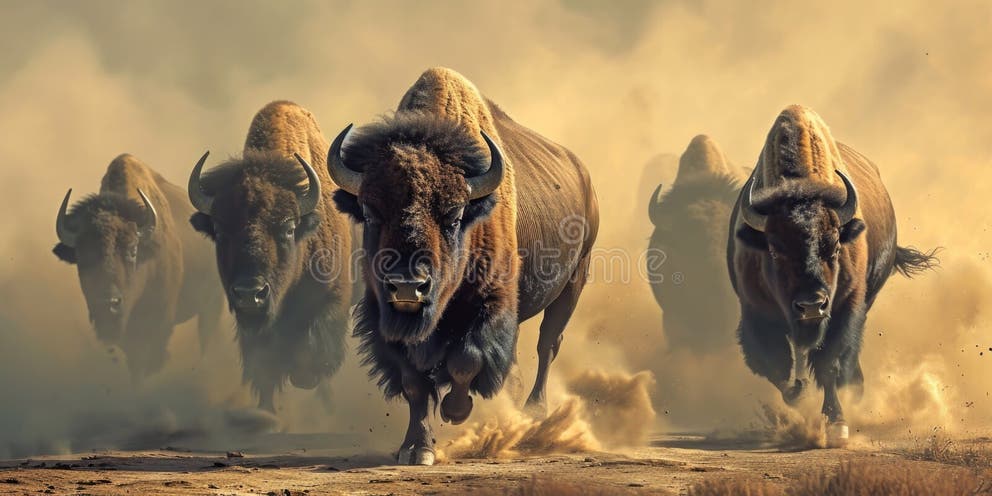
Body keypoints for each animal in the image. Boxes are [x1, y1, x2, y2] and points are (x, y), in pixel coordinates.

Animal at [187, 101, 352, 412]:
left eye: (288, 228)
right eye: (219, 230)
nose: (250, 294)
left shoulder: (332, 300)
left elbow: (314, 356)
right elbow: (265, 371)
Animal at [328, 67, 599, 465]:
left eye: (454, 216)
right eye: (370, 212)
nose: (408, 287)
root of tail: (585, 179)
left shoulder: (490, 303)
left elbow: (465, 359)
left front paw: (456, 410)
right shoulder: (384, 317)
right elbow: (414, 382)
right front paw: (416, 448)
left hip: (574, 283)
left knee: (548, 344)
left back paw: (533, 412)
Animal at [727, 105, 938, 446]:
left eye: (836, 245)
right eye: (774, 249)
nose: (812, 304)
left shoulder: (845, 307)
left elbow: (831, 363)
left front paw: (837, 426)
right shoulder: (756, 312)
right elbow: (776, 367)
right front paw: (799, 395)